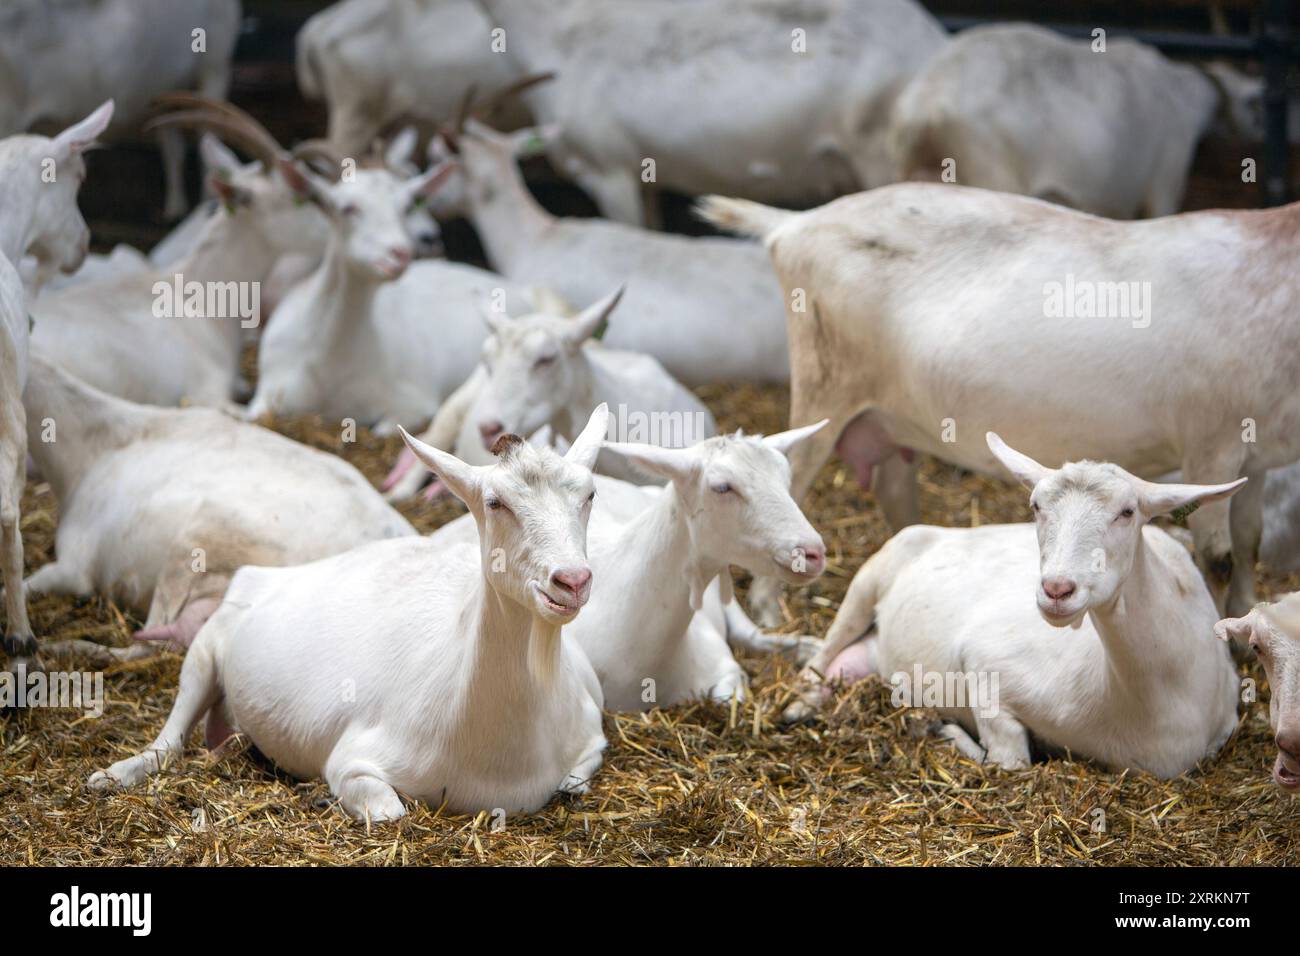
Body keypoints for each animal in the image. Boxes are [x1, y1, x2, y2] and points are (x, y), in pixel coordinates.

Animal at [89, 407, 612, 821]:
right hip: (206, 645)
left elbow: (577, 777)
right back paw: (113, 774)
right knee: (171, 737)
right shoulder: (355, 758)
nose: (571, 581)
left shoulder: (591, 734)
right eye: (495, 502)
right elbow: (388, 811)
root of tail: (263, 575)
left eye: (589, 496)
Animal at [699, 184, 1300, 621]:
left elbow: (1249, 541)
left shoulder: (1251, 455)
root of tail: (794, 223)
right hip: (823, 384)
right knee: (795, 481)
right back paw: (768, 612)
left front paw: (1250, 620)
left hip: (885, 415)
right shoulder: (1210, 441)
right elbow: (1218, 559)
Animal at [786, 434, 1243, 779]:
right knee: (822, 655)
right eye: (1036, 506)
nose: (1057, 589)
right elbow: (1010, 760)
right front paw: (941, 729)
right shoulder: (985, 661)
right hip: (868, 580)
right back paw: (797, 708)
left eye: (1128, 512)